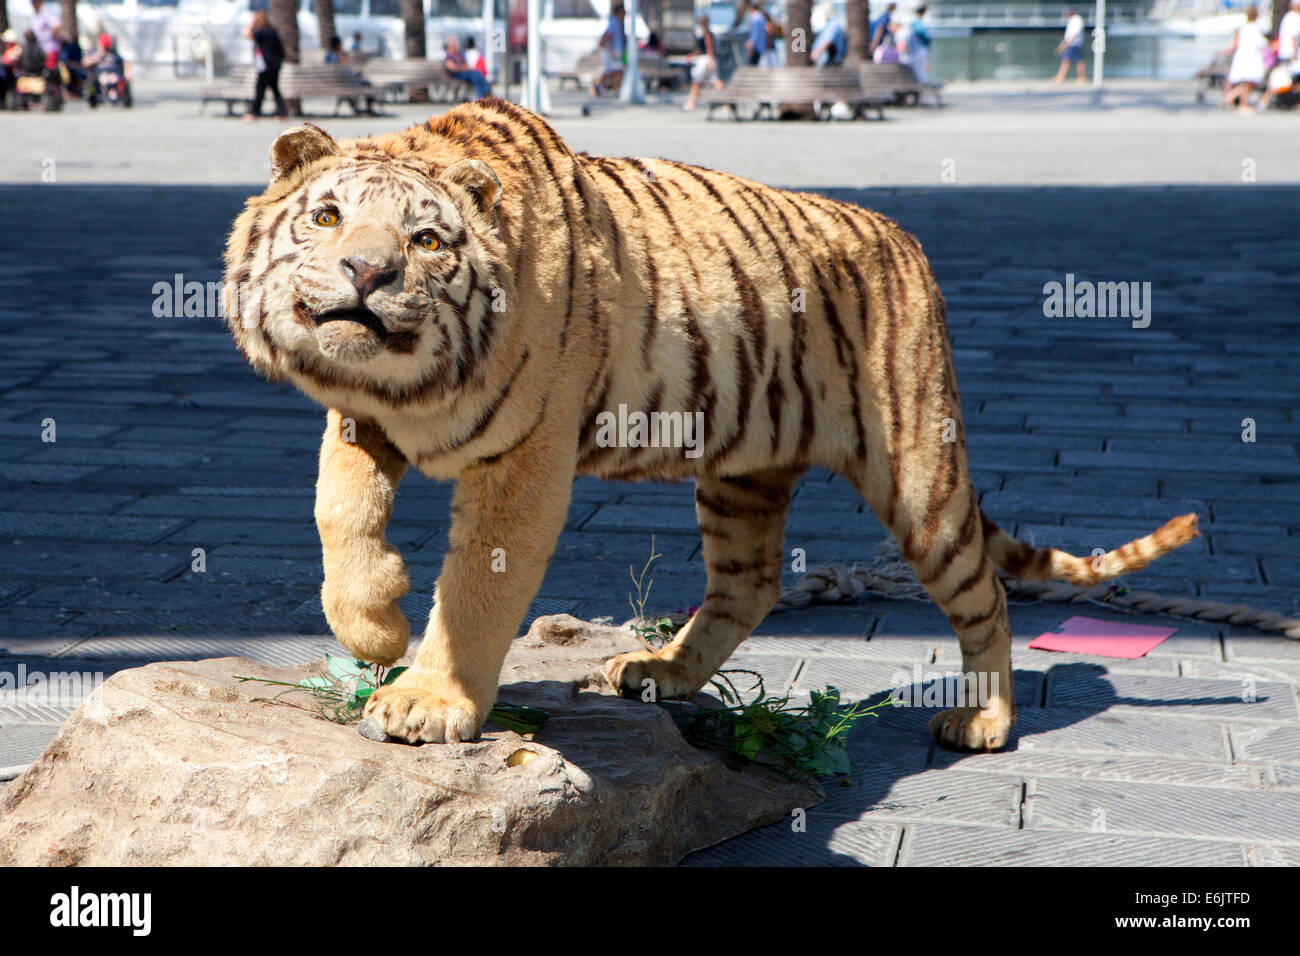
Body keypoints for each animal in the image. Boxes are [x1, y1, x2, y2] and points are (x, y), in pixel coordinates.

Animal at [223, 97, 1198, 752]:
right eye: (327, 216)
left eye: (426, 242)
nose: (367, 272)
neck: (405, 387)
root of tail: (906, 239)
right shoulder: (361, 417)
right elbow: (339, 515)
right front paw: (375, 628)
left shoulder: (524, 460)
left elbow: (474, 592)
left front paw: (428, 700)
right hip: (741, 474)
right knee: (749, 584)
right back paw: (658, 673)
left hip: (919, 469)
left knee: (983, 590)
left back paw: (985, 720)